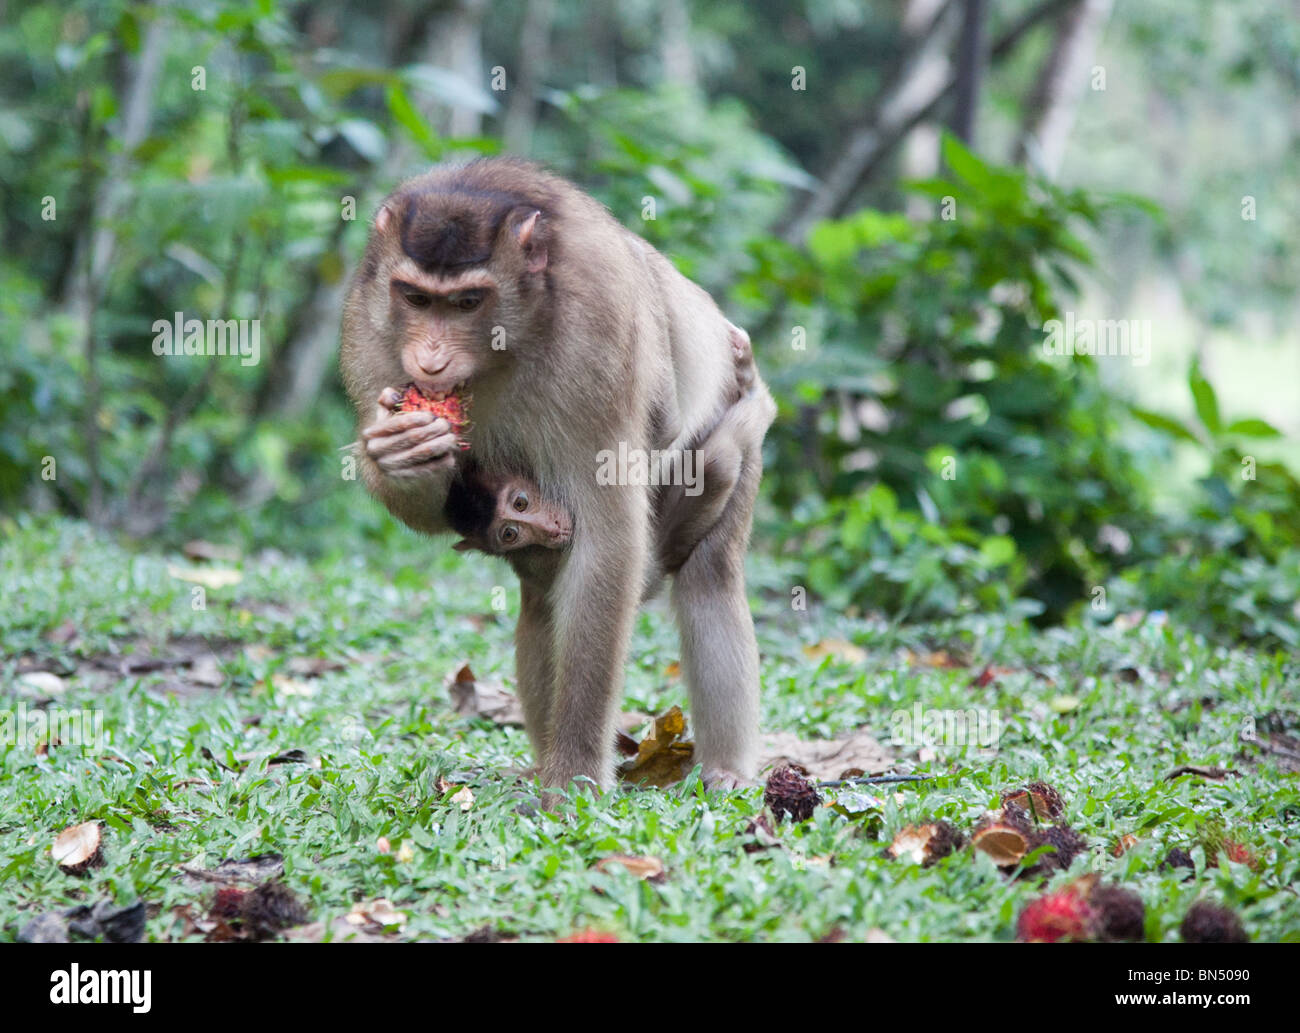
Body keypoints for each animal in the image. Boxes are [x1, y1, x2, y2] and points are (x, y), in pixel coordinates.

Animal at [340, 158, 775, 797]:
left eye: (468, 302)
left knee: (709, 570)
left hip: (734, 426)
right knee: (541, 599)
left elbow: (610, 546)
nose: (430, 361)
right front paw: (401, 455)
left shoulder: (598, 335)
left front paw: (574, 780)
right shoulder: (372, 334)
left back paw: (723, 769)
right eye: (415, 298)